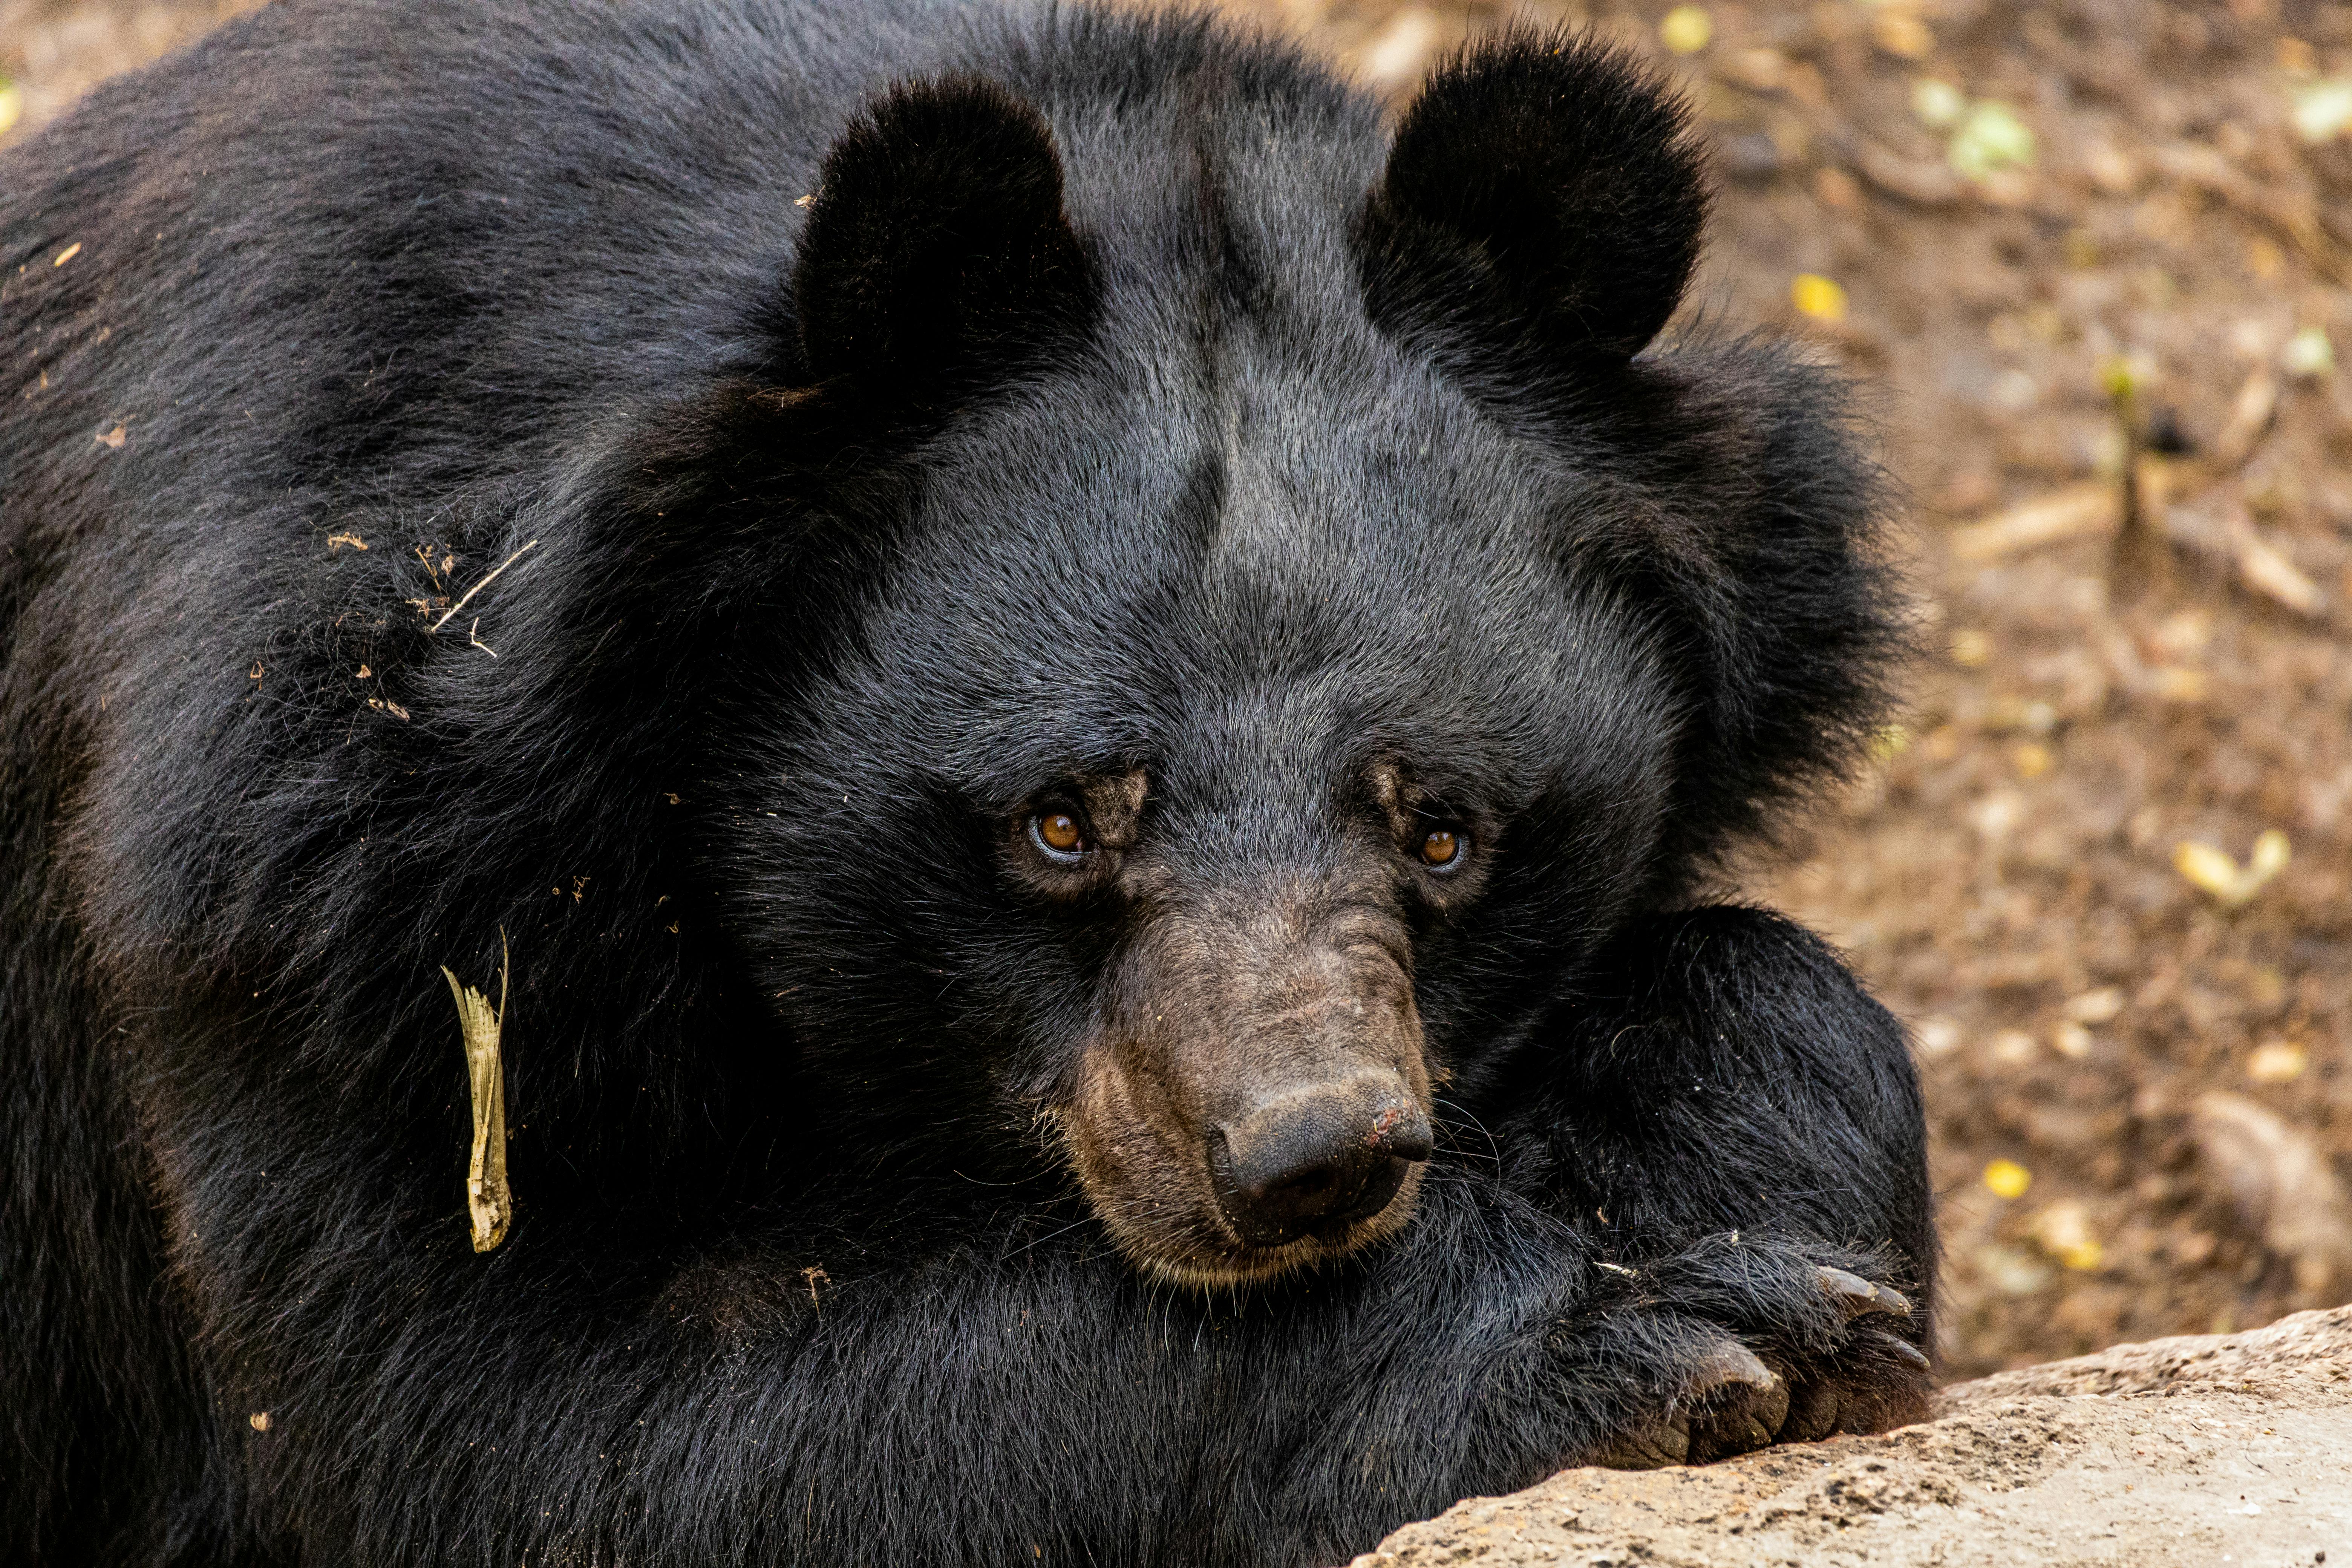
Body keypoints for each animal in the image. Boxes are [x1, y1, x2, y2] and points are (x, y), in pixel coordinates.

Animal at [0, 1, 1933, 1565]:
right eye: (1060, 821)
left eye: (1443, 829)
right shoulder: (316, 882)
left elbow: (1773, 995)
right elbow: (528, 1439)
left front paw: (1777, 1220)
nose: (1309, 1161)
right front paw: (1674, 1332)